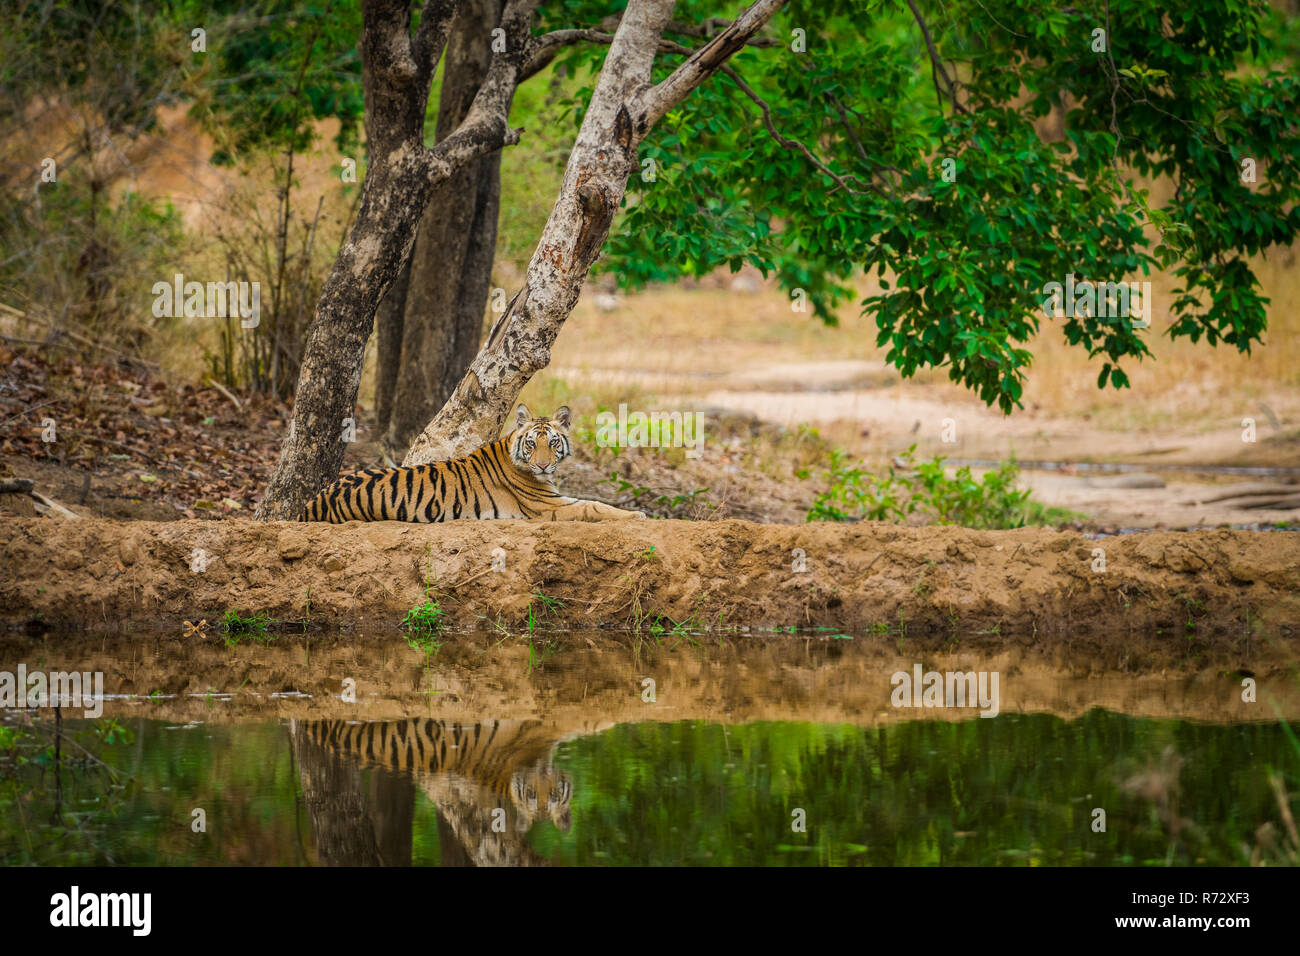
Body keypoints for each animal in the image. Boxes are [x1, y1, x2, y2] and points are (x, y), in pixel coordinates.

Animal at [300, 404, 646, 523]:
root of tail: (314, 503)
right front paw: (638, 514)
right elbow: (595, 507)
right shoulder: (550, 506)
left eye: (553, 443)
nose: (544, 467)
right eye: (532, 444)